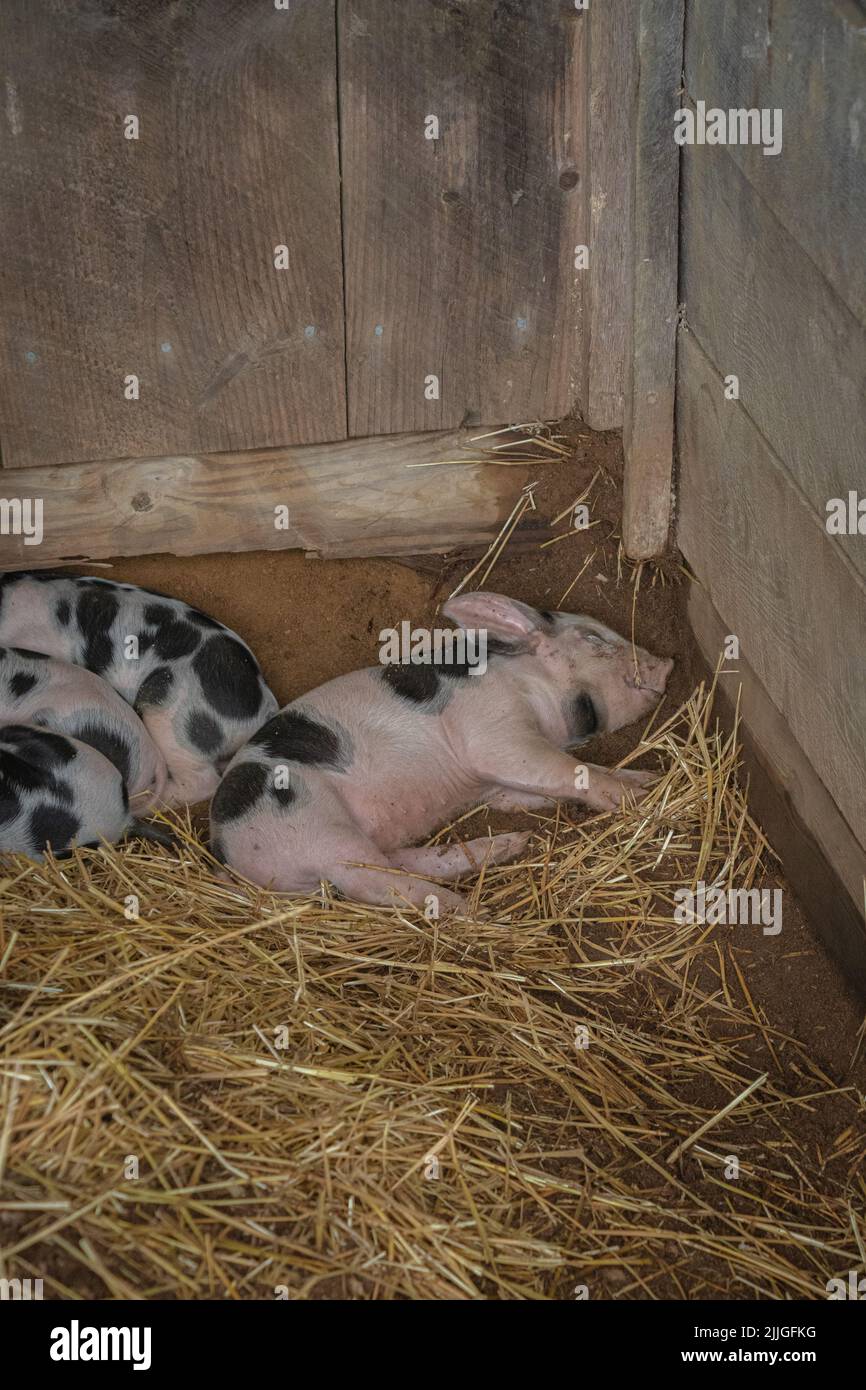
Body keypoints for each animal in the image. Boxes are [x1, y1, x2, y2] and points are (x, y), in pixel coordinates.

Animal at [210, 592, 674, 912]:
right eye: (594, 638)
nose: (667, 664)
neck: (530, 684)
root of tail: (224, 849)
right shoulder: (495, 734)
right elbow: (566, 769)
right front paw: (639, 798)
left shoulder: (496, 786)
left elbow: (549, 783)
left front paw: (647, 780)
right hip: (313, 828)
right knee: (373, 880)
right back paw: (469, 909)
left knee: (398, 862)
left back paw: (510, 845)